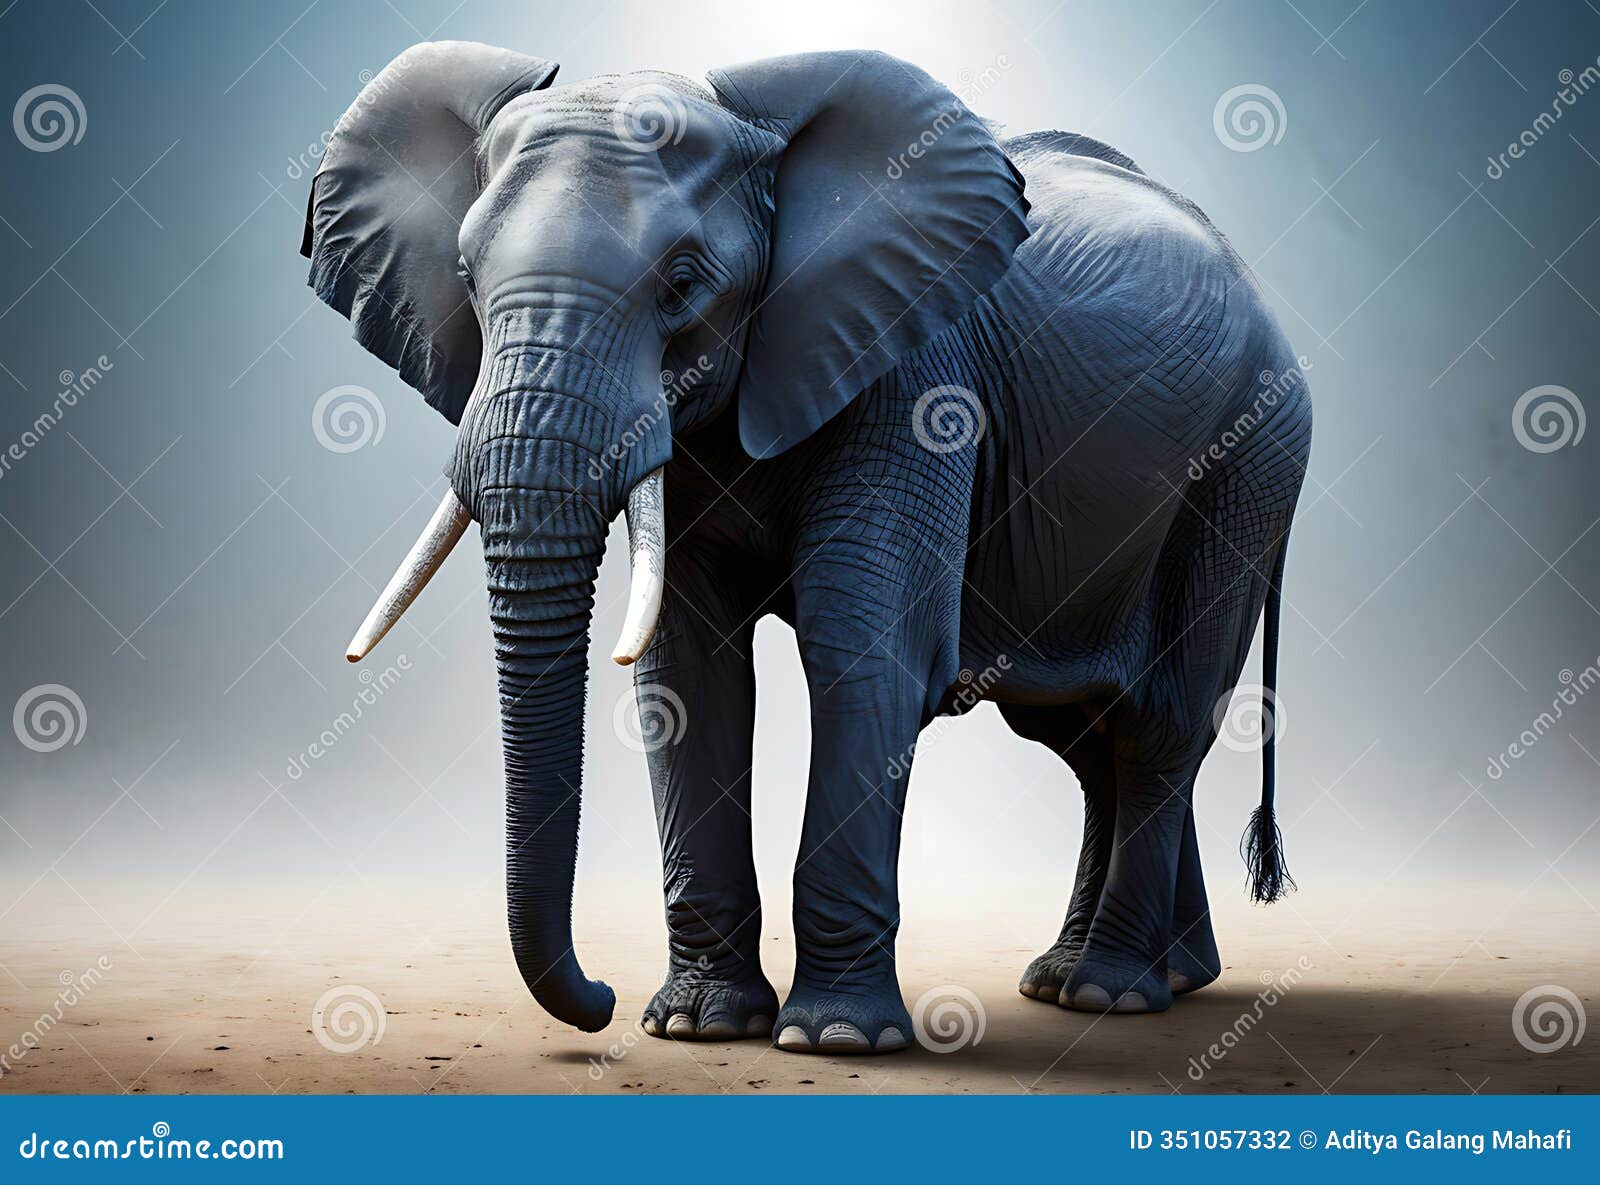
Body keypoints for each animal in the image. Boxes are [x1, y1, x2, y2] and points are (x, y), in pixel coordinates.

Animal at [300, 42, 1311, 1054]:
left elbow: (863, 650)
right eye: (466, 277)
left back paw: (1111, 992)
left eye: (680, 284)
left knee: (1159, 723)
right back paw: (1128, 977)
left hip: (1247, 467)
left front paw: (836, 1039)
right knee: (1083, 731)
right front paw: (698, 1024)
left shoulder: (918, 380)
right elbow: (688, 671)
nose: (599, 1001)